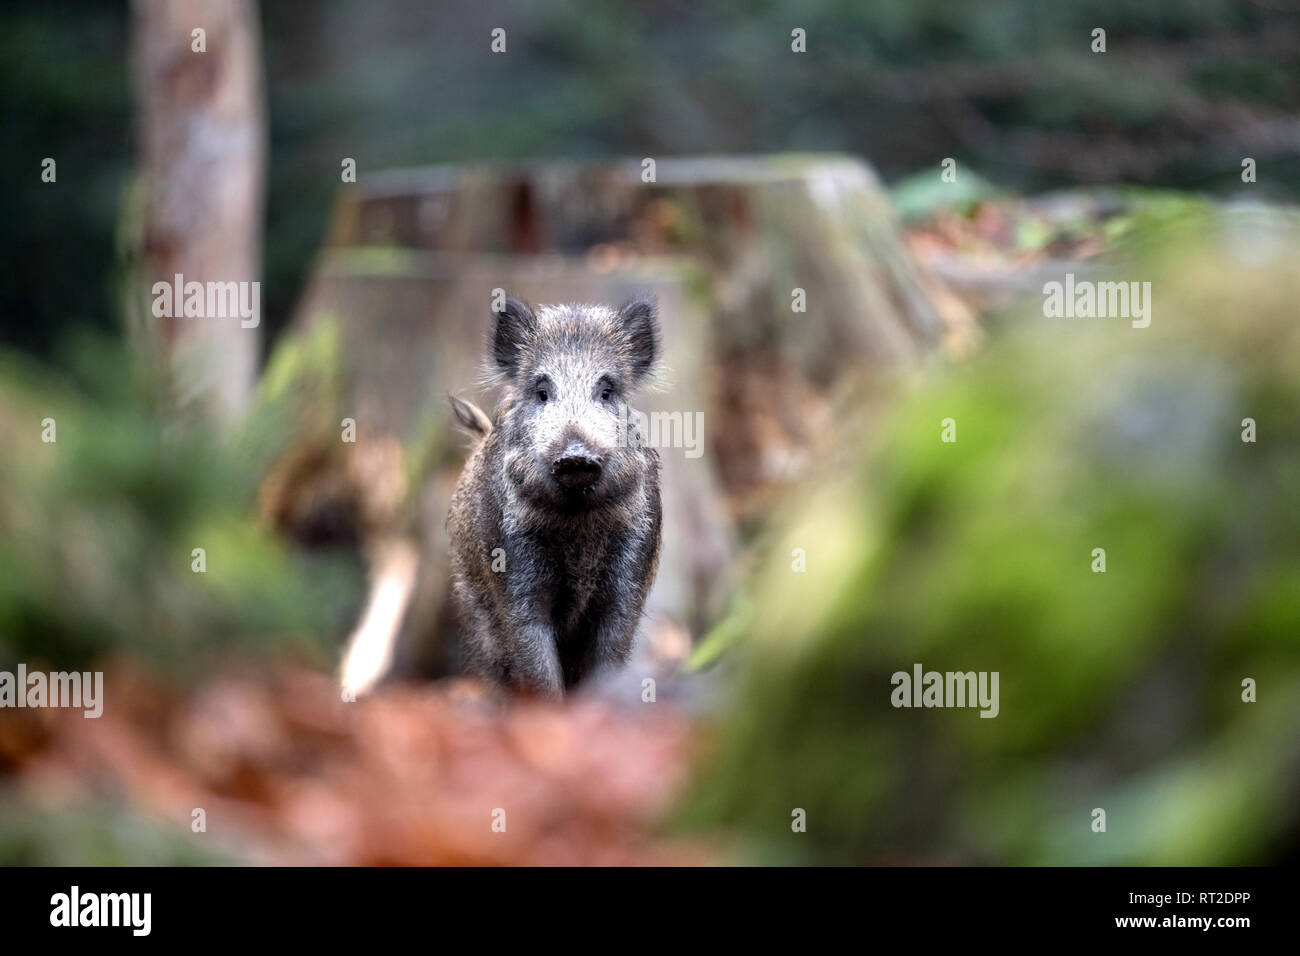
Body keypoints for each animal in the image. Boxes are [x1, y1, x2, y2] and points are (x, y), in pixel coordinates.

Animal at [446, 295, 663, 697]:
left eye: (607, 391)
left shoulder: (627, 586)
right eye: (542, 392)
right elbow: (538, 669)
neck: (577, 525)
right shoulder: (515, 583)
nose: (576, 456)